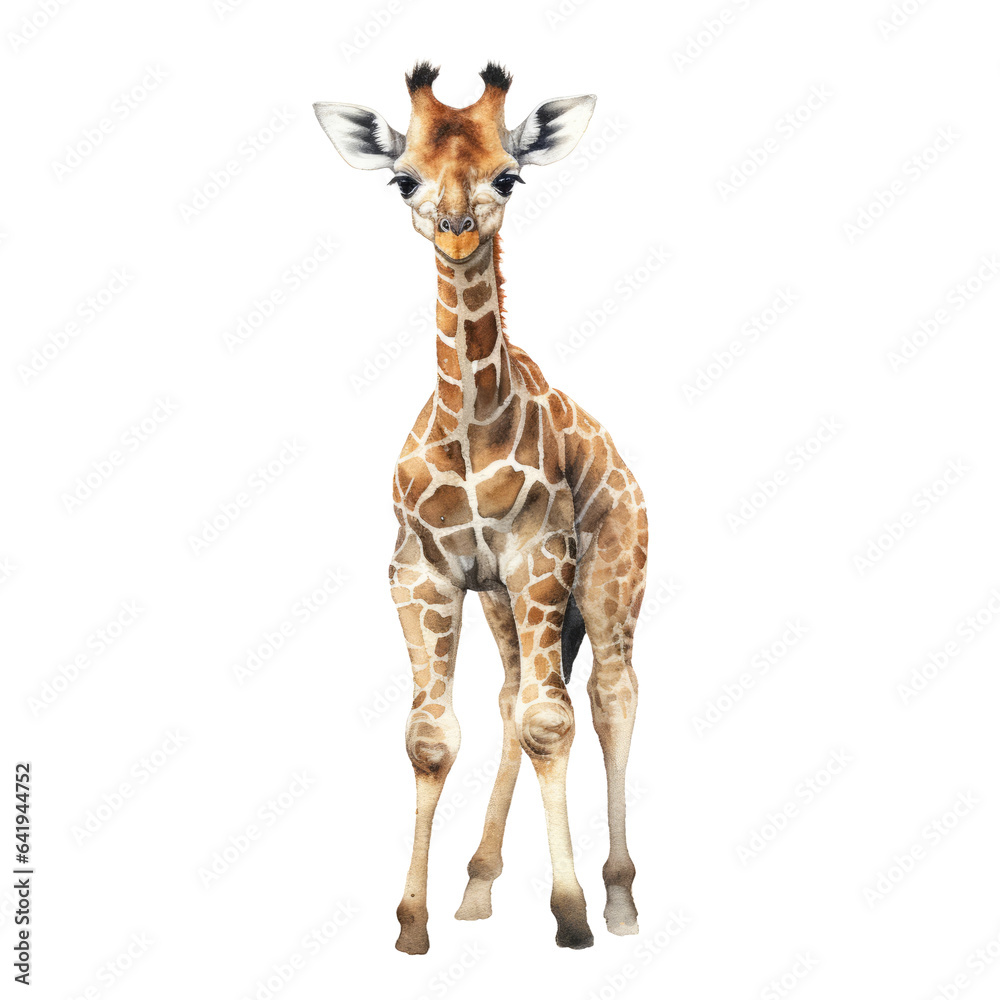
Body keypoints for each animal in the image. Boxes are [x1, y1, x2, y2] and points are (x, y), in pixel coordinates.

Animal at [314, 62, 648, 954]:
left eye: (509, 176)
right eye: (404, 178)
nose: (458, 230)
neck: (470, 427)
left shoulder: (542, 559)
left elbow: (550, 722)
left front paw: (571, 913)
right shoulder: (422, 573)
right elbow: (432, 738)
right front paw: (414, 920)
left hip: (608, 580)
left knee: (607, 696)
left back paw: (620, 899)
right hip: (501, 599)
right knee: (509, 697)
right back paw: (478, 884)